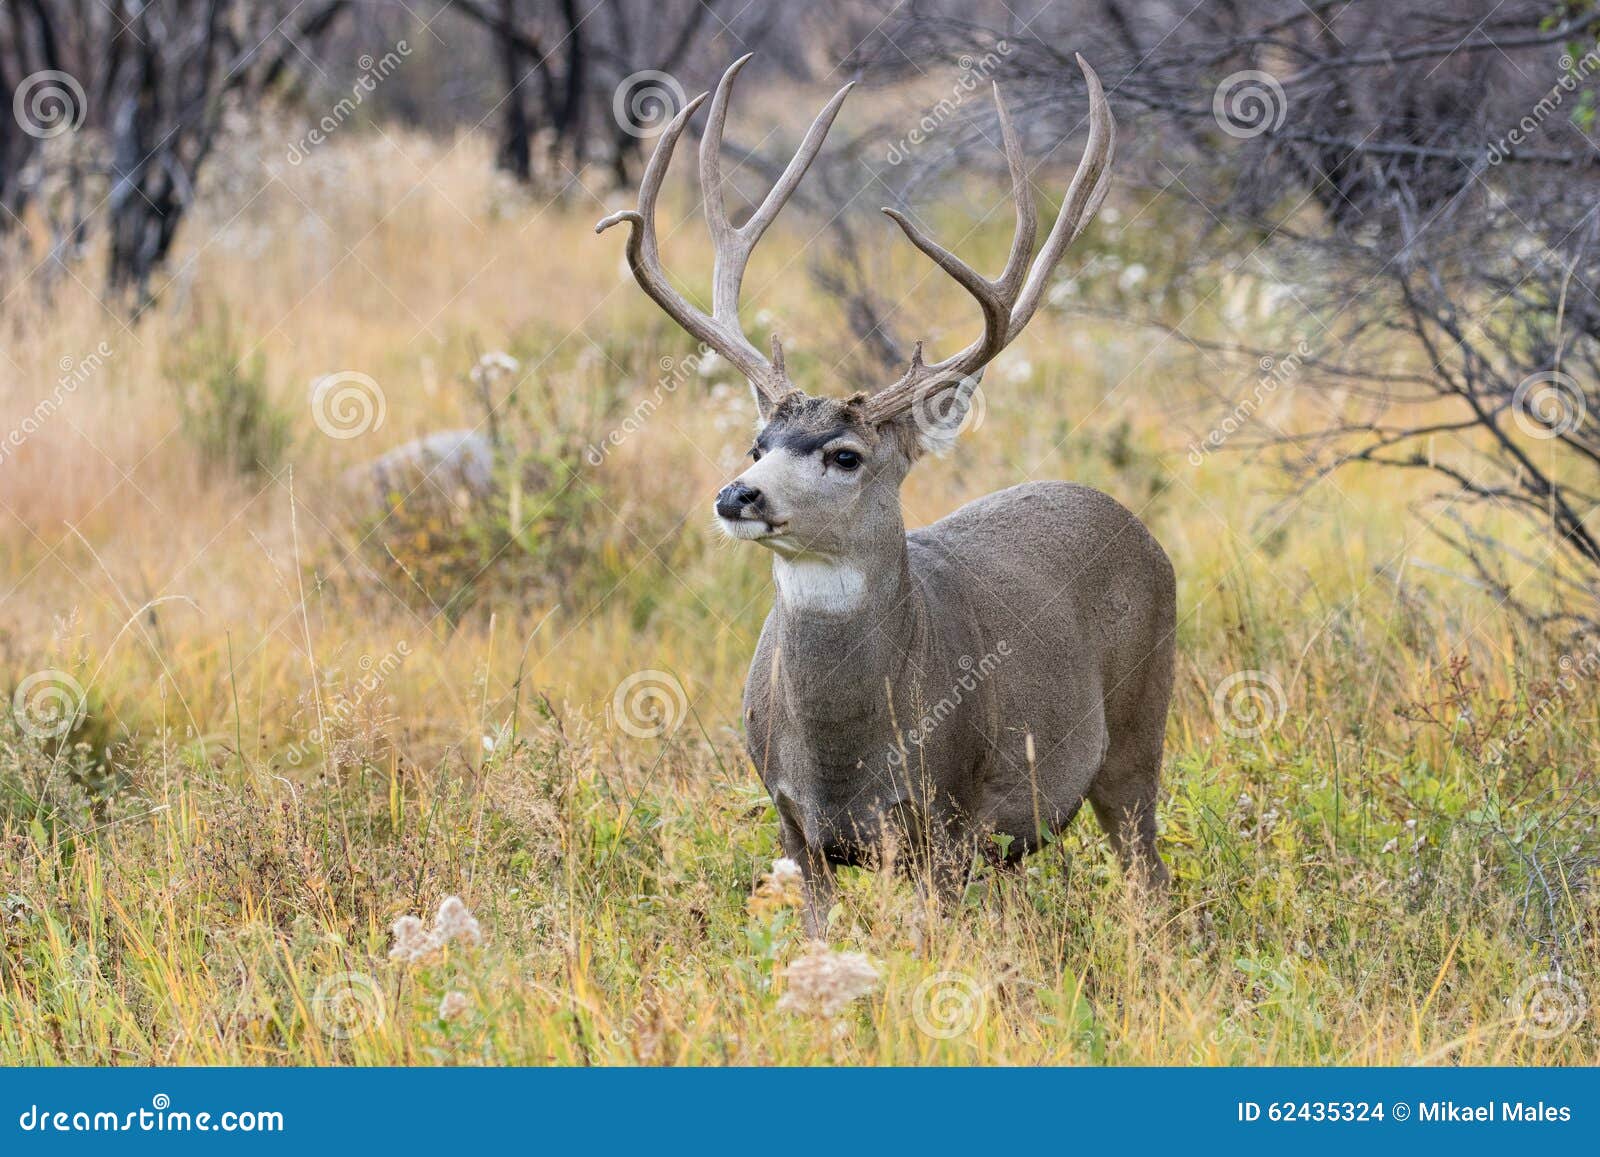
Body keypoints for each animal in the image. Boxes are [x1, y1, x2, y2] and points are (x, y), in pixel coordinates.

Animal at [597, 53, 1175, 936]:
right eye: (758, 443)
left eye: (846, 454)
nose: (738, 495)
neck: (844, 756)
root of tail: (1138, 527)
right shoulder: (792, 824)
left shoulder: (946, 818)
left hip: (1138, 736)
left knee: (1152, 877)